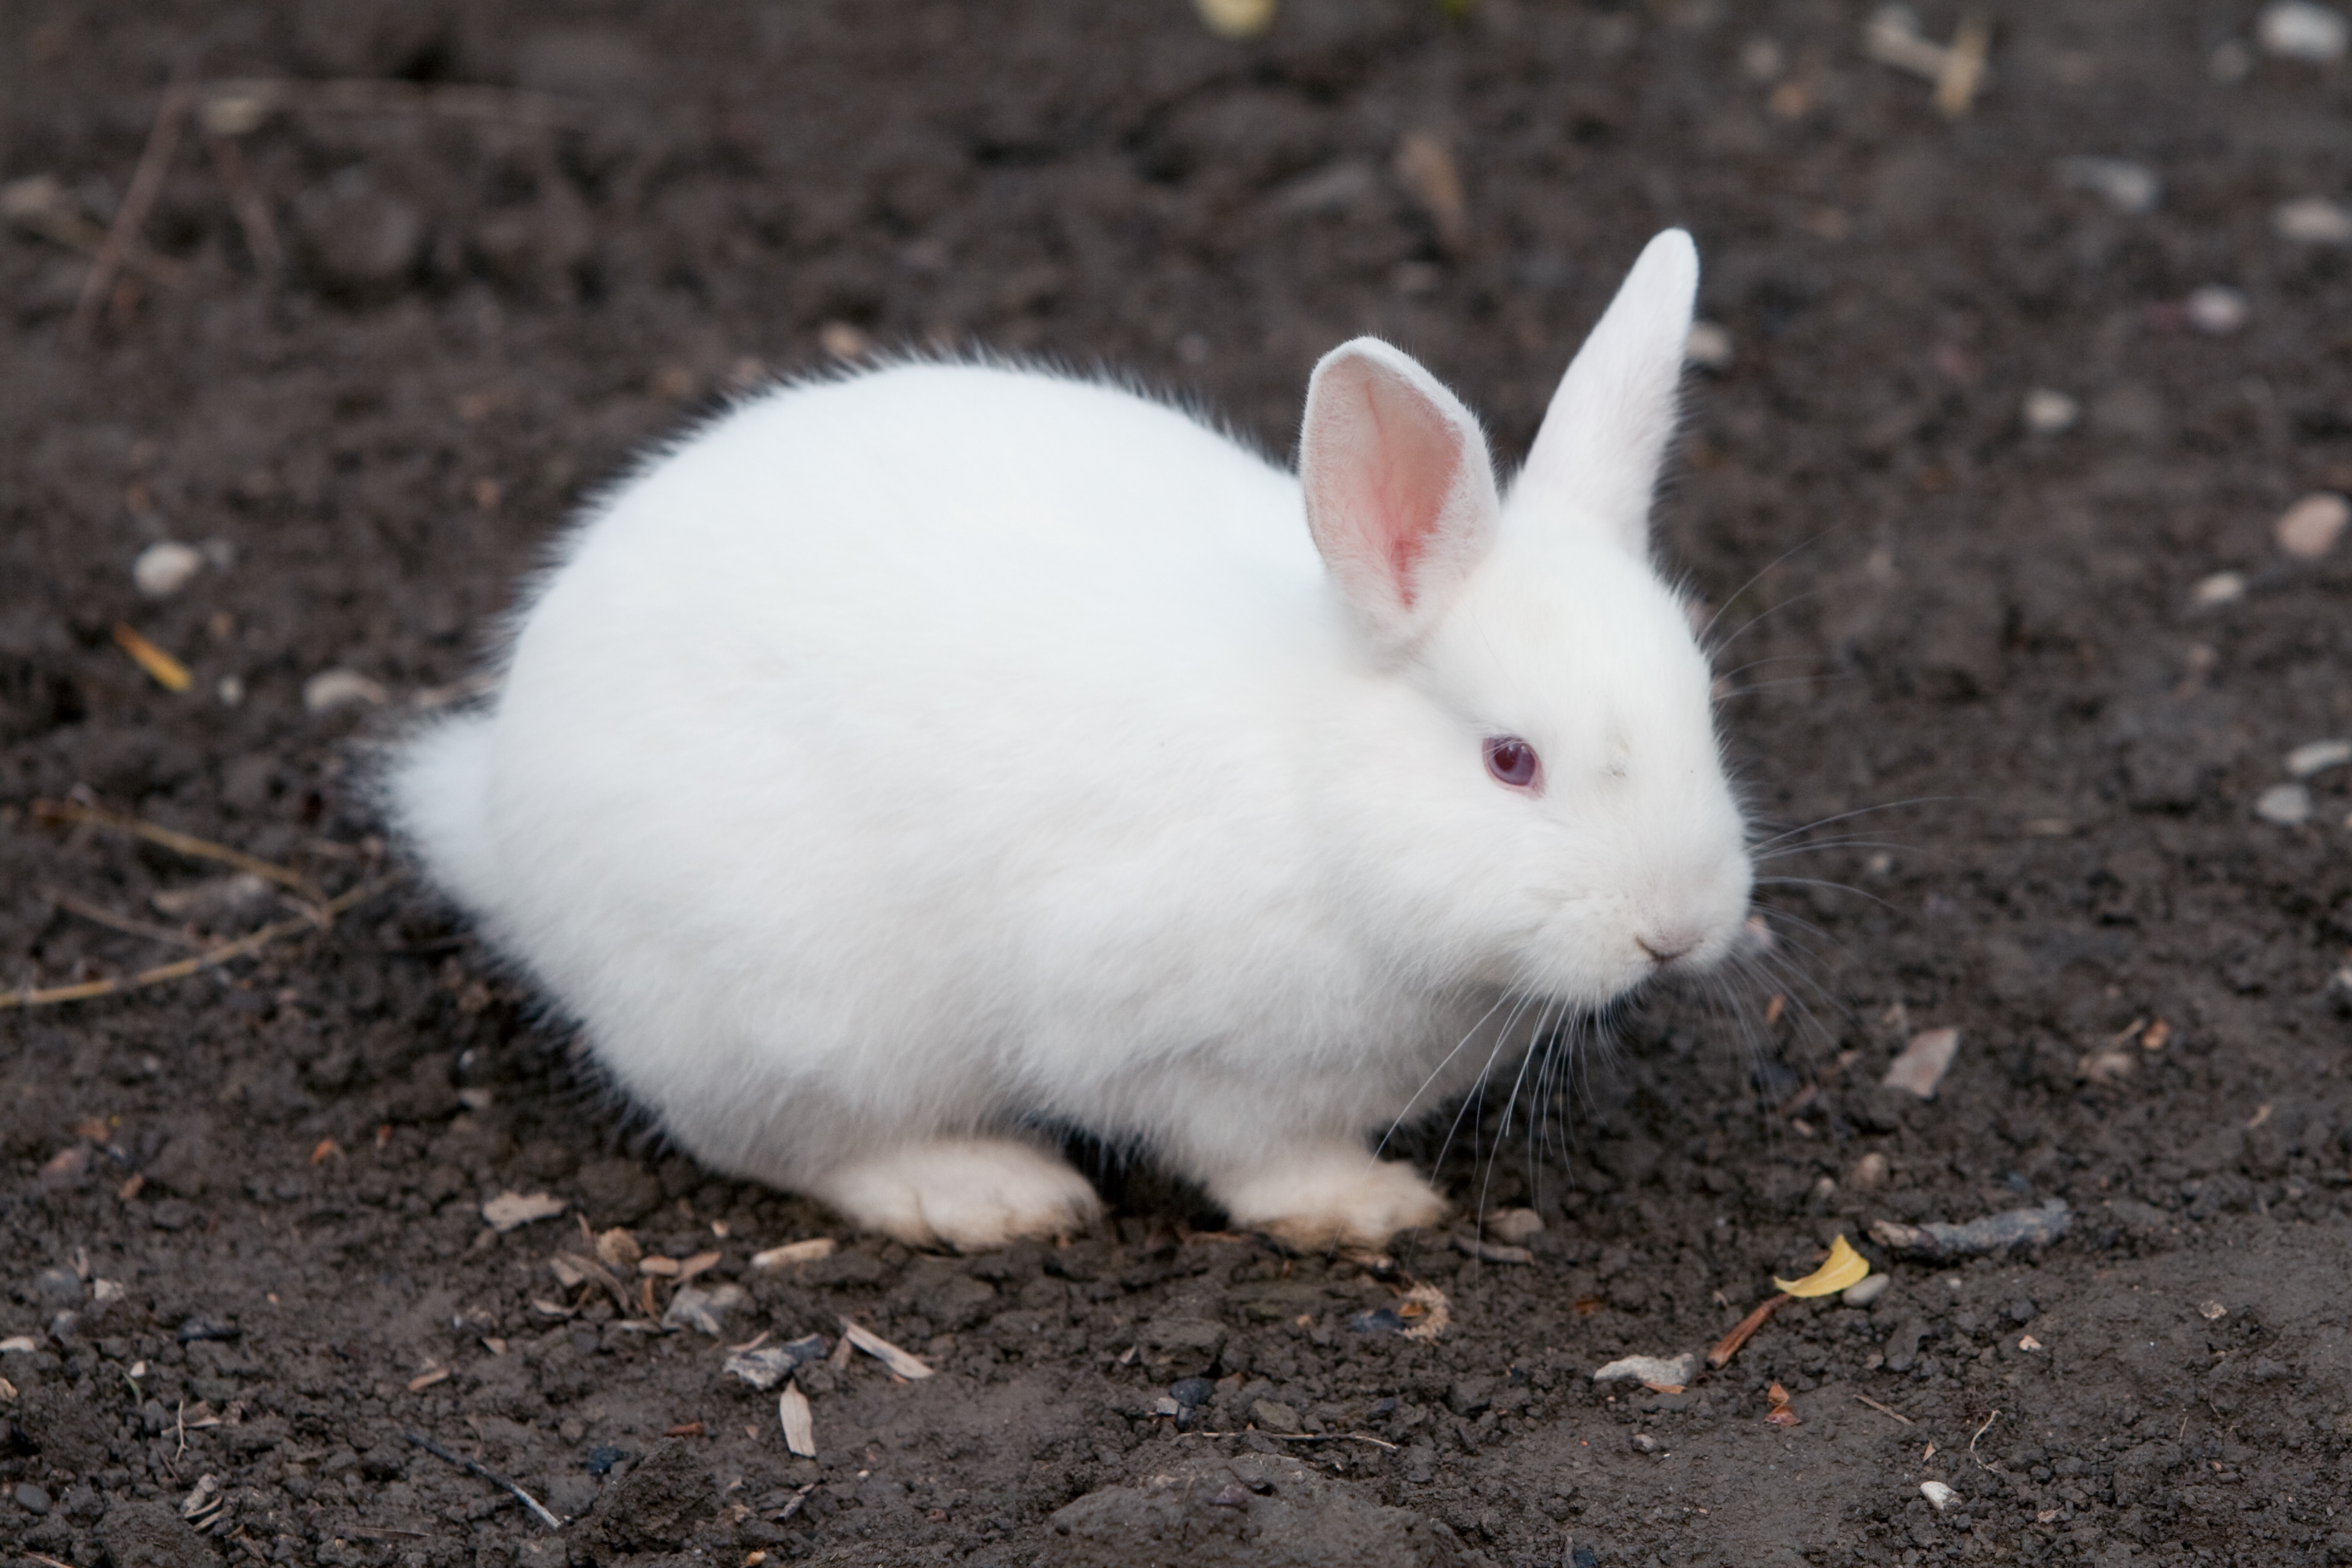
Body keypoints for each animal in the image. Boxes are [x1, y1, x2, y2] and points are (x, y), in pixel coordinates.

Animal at [386, 228, 1752, 1253]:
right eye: (1509, 761)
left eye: (1704, 699)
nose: (1677, 931)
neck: (1320, 789)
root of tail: (502, 812)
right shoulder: (1174, 1049)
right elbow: (1250, 1152)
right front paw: (1362, 1207)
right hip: (794, 1015)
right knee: (784, 1144)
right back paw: (986, 1192)